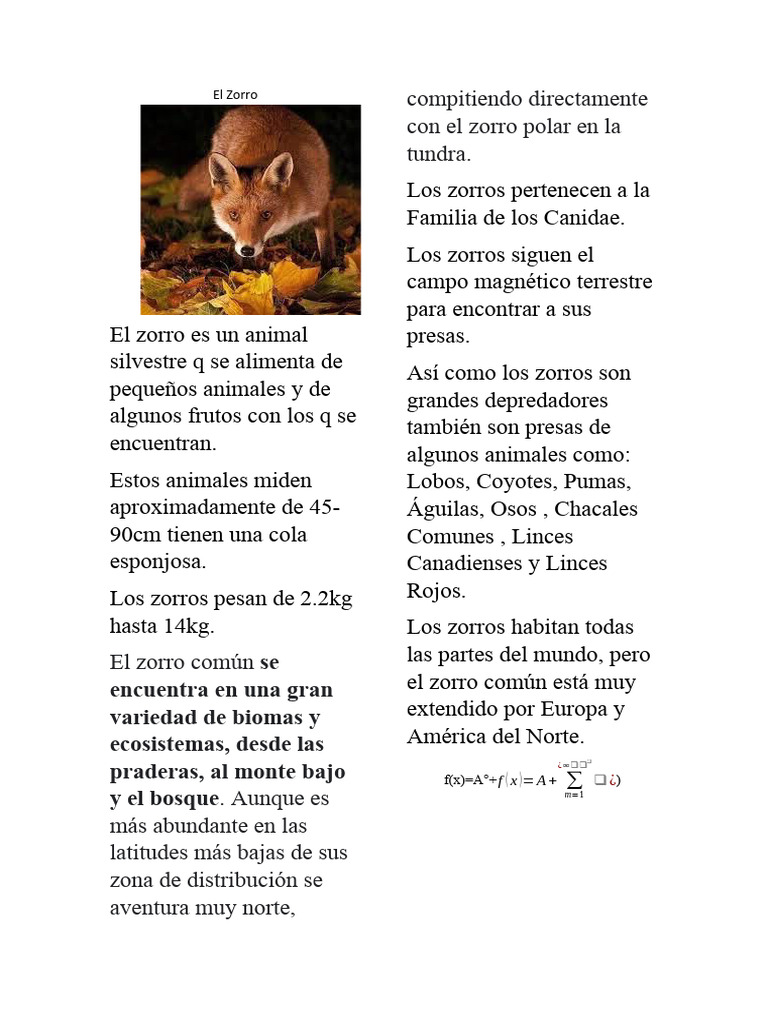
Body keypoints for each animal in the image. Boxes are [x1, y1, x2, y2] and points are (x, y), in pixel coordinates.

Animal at [178, 106, 335, 271]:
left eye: (266, 214)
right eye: (233, 215)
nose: (247, 250)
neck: (288, 217)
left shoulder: (321, 203)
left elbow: (327, 250)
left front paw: (329, 273)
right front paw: (249, 274)